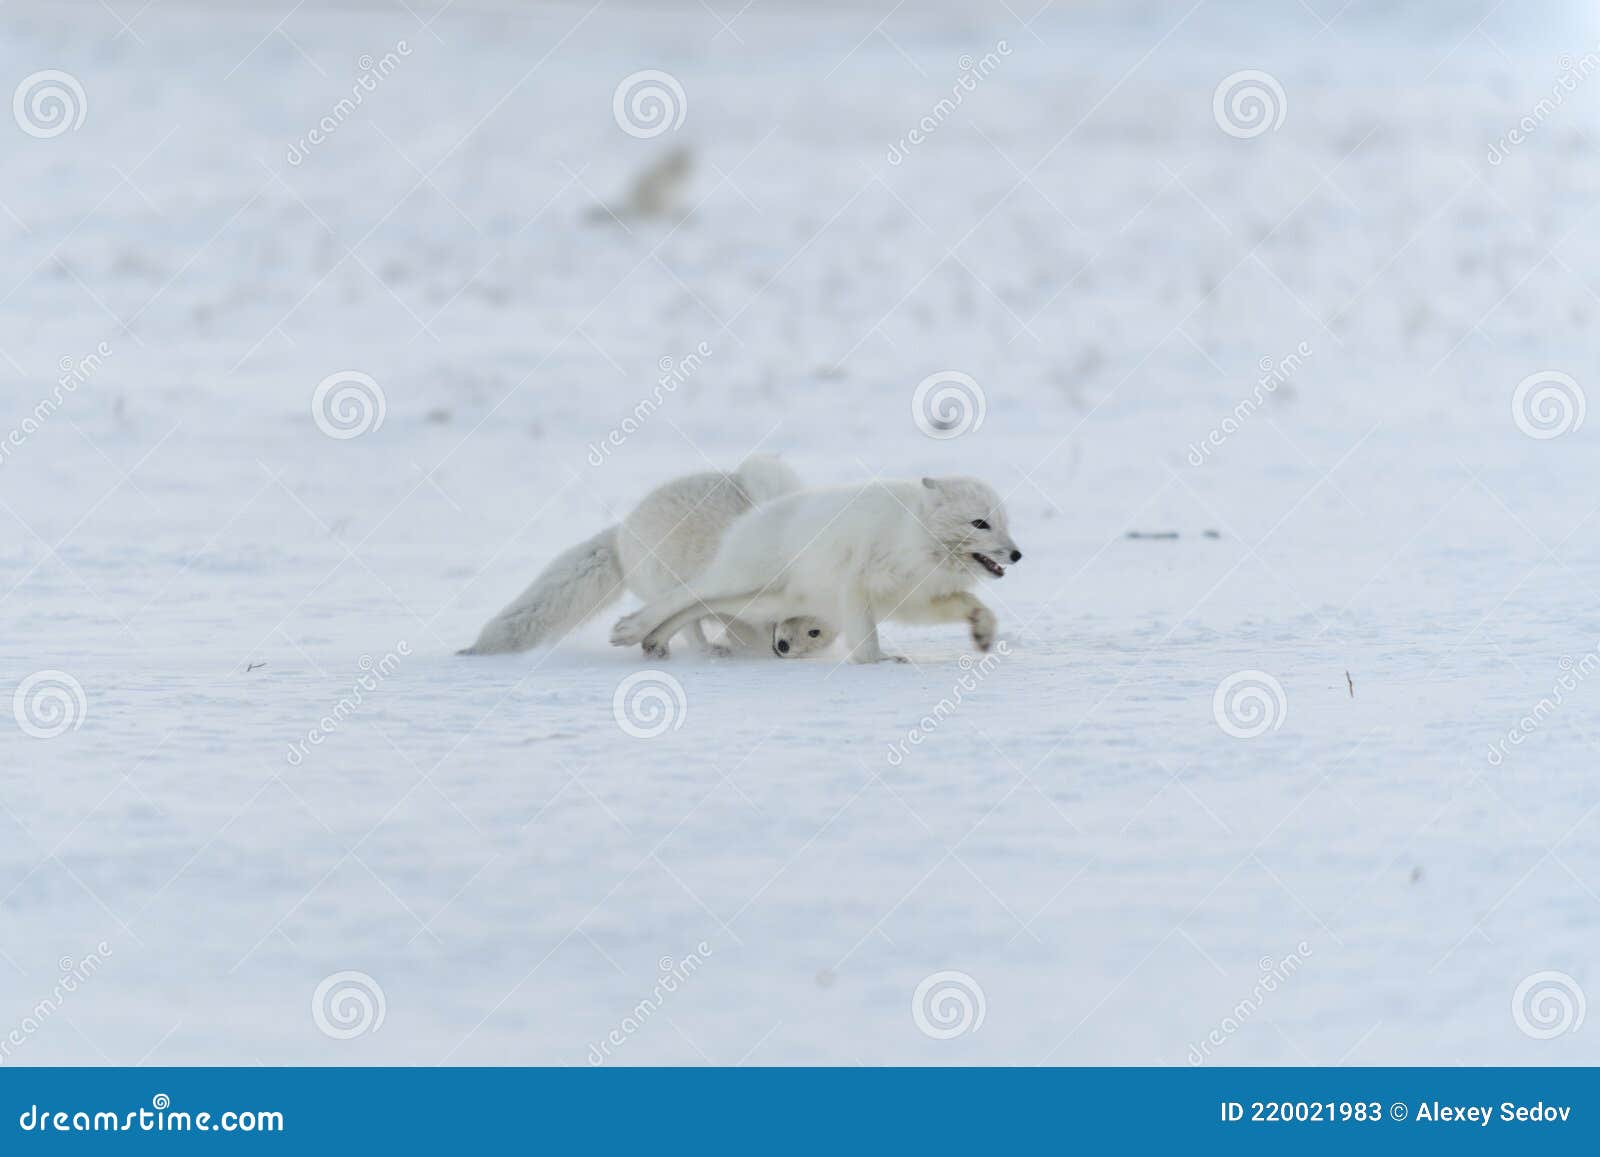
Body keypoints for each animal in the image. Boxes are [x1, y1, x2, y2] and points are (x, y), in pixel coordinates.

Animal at [461, 455, 837, 658]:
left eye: (815, 631)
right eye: (796, 620)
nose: (784, 646)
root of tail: (620, 533)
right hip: (665, 579)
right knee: (688, 627)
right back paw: (700, 650)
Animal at [611, 476, 1021, 663]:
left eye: (1004, 522)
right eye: (980, 523)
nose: (1017, 555)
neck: (915, 536)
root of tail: (749, 518)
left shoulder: (914, 601)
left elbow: (972, 605)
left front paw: (984, 633)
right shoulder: (857, 583)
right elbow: (864, 640)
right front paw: (880, 661)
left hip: (769, 601)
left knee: (698, 606)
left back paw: (653, 641)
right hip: (745, 579)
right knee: (685, 595)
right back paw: (632, 629)